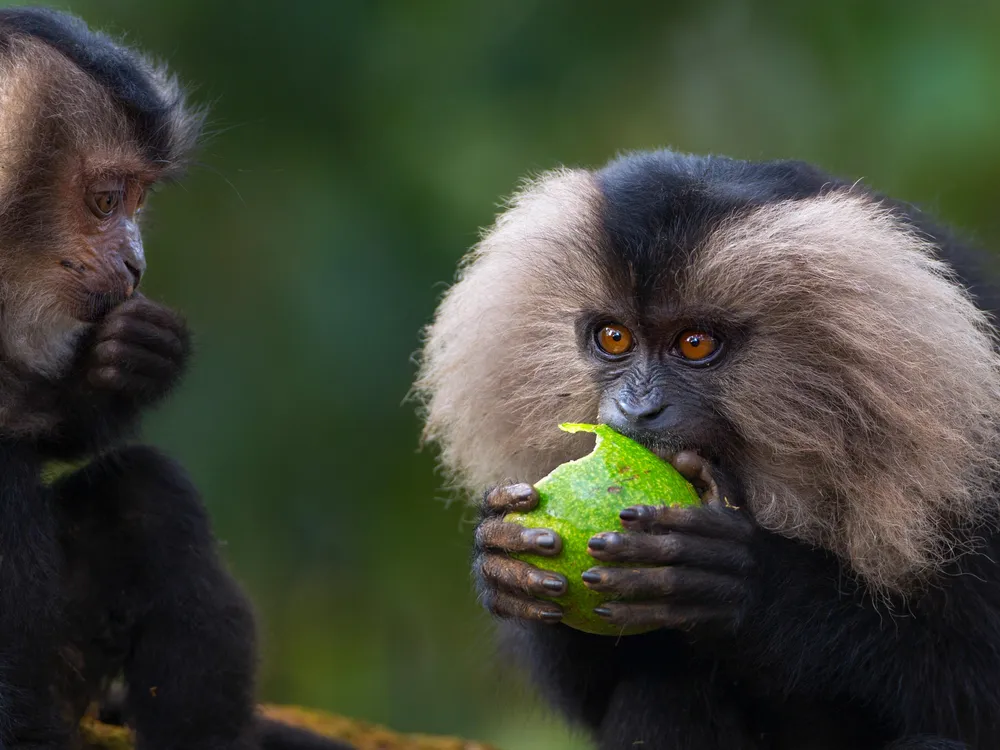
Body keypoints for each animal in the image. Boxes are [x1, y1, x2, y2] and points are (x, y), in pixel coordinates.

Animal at [414, 149, 1000, 749]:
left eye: (695, 344)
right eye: (614, 338)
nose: (638, 410)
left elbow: (970, 693)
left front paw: (749, 582)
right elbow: (594, 691)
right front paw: (503, 555)